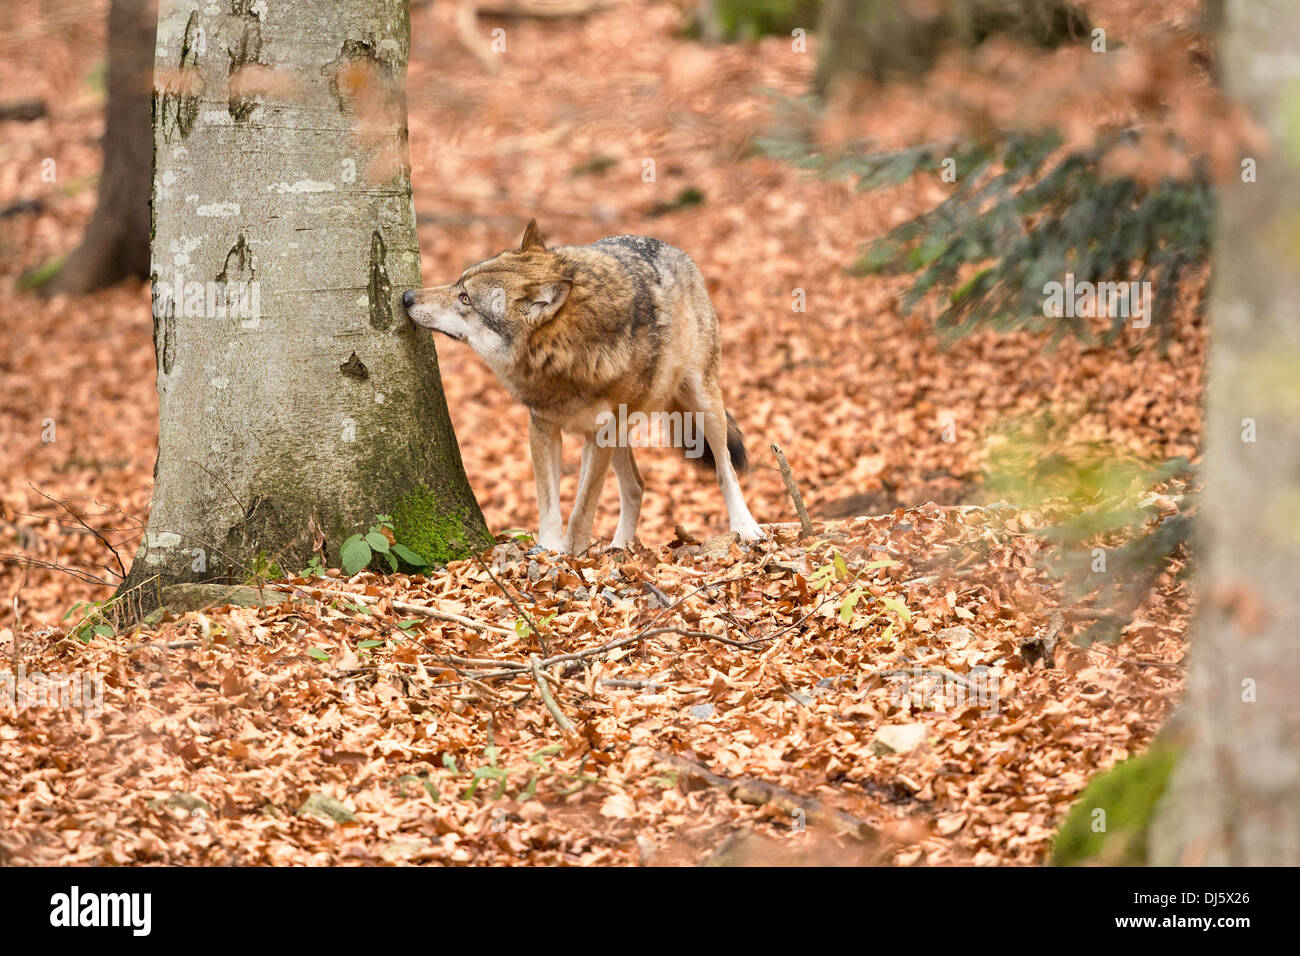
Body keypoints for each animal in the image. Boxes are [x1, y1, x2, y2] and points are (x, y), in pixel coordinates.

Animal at [402, 219, 764, 554]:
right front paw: (548, 550)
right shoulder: (543, 428)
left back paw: (746, 528)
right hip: (624, 434)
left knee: (725, 469)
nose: (406, 297)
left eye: (465, 299)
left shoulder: (598, 437)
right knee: (636, 486)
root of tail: (671, 248)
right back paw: (620, 547)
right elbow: (549, 504)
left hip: (703, 406)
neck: (564, 357)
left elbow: (581, 509)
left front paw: (571, 556)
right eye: (457, 283)